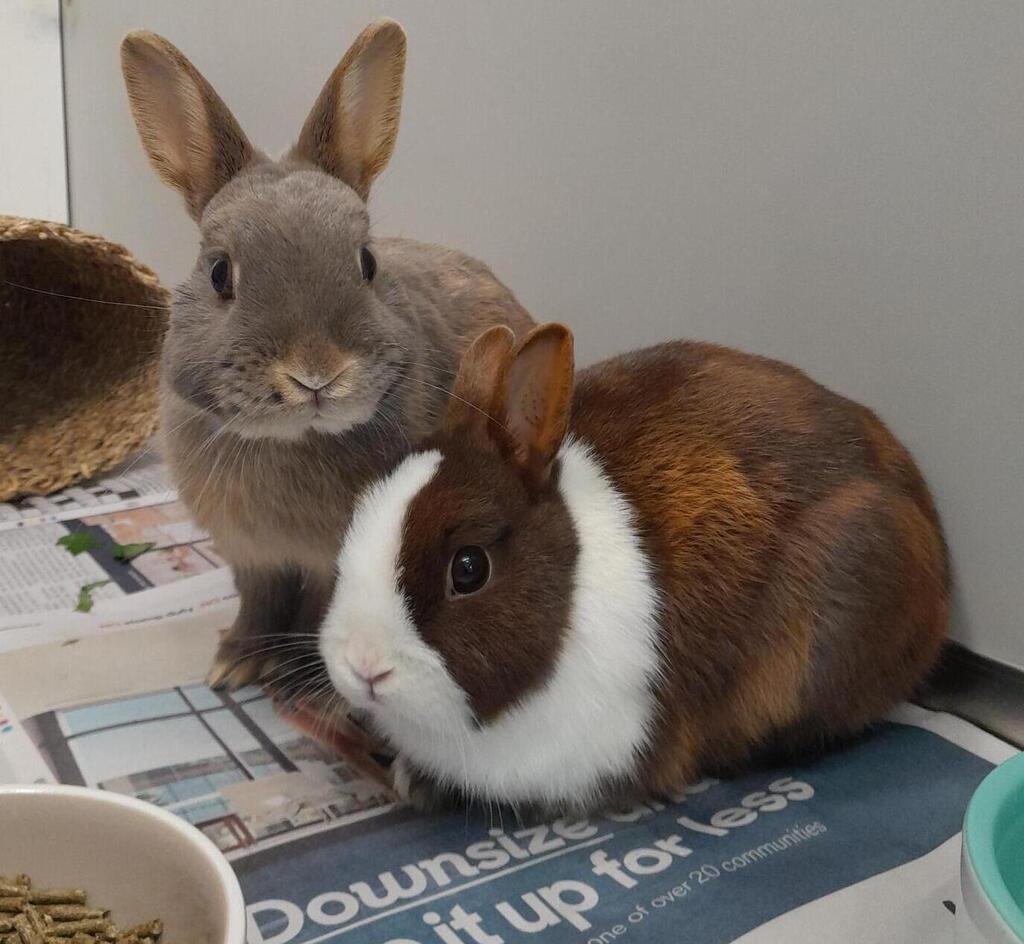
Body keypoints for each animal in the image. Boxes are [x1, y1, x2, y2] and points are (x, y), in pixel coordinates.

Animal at [119, 20, 533, 692]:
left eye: (367, 262)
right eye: (219, 273)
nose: (315, 373)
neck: (294, 442)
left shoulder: (334, 564)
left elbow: (318, 608)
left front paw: (297, 675)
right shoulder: (251, 556)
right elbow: (258, 601)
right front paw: (235, 663)